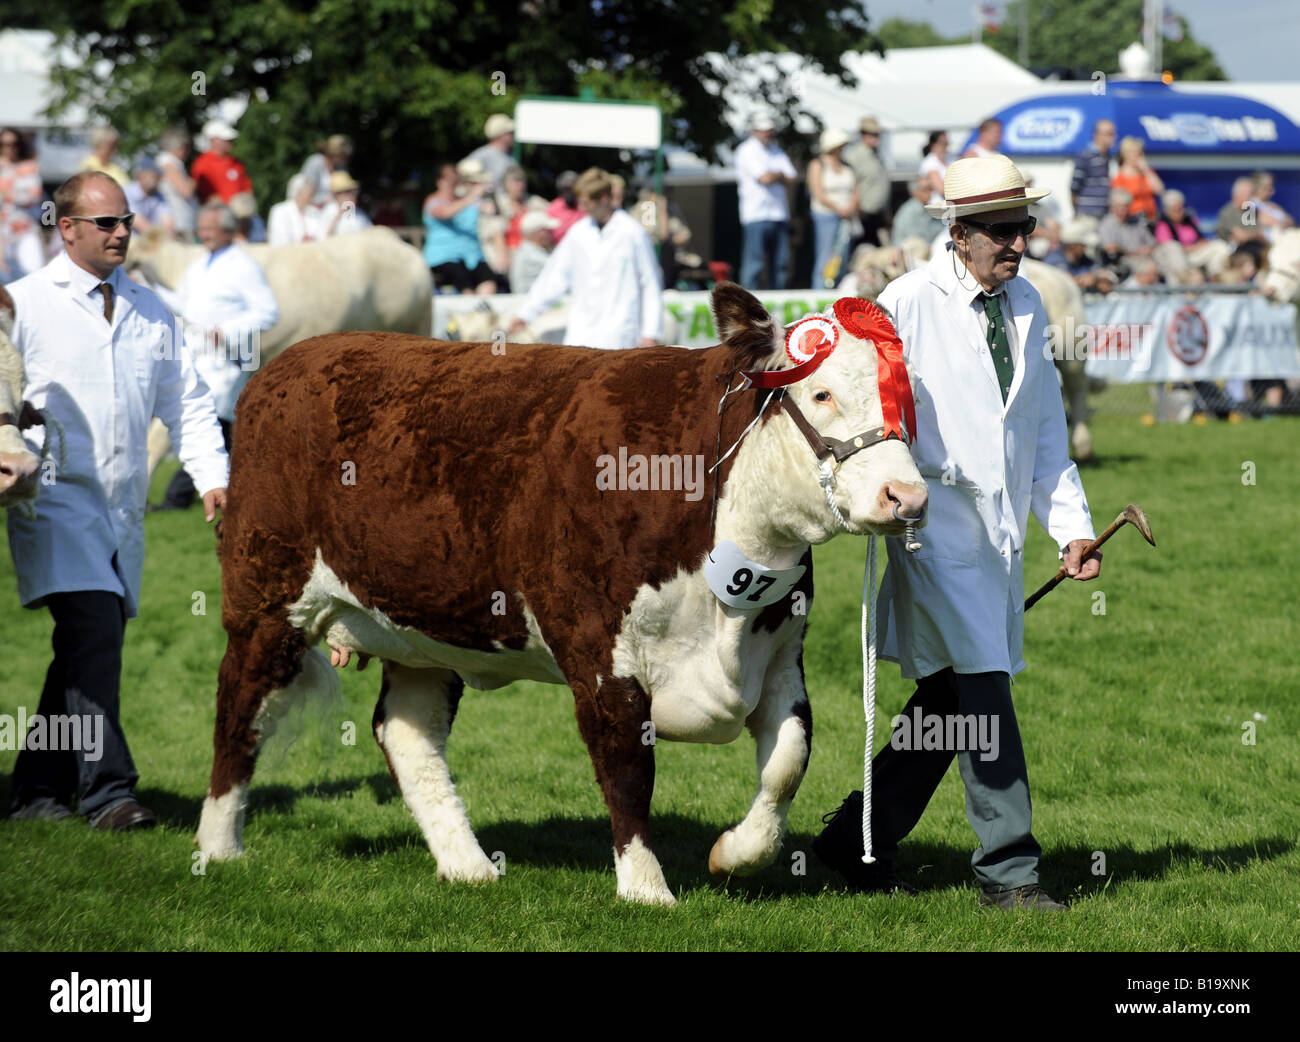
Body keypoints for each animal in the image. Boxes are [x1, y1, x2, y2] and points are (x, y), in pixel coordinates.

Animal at [195, 283, 929, 905]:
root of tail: (291, 362)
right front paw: (646, 889)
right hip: (266, 599)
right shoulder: (604, 655)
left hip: (423, 630)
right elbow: (627, 769)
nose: (907, 496)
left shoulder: (779, 652)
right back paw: (218, 848)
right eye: (823, 394)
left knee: (405, 733)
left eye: (905, 400)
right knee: (238, 713)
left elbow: (788, 761)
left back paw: (467, 864)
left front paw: (736, 853)